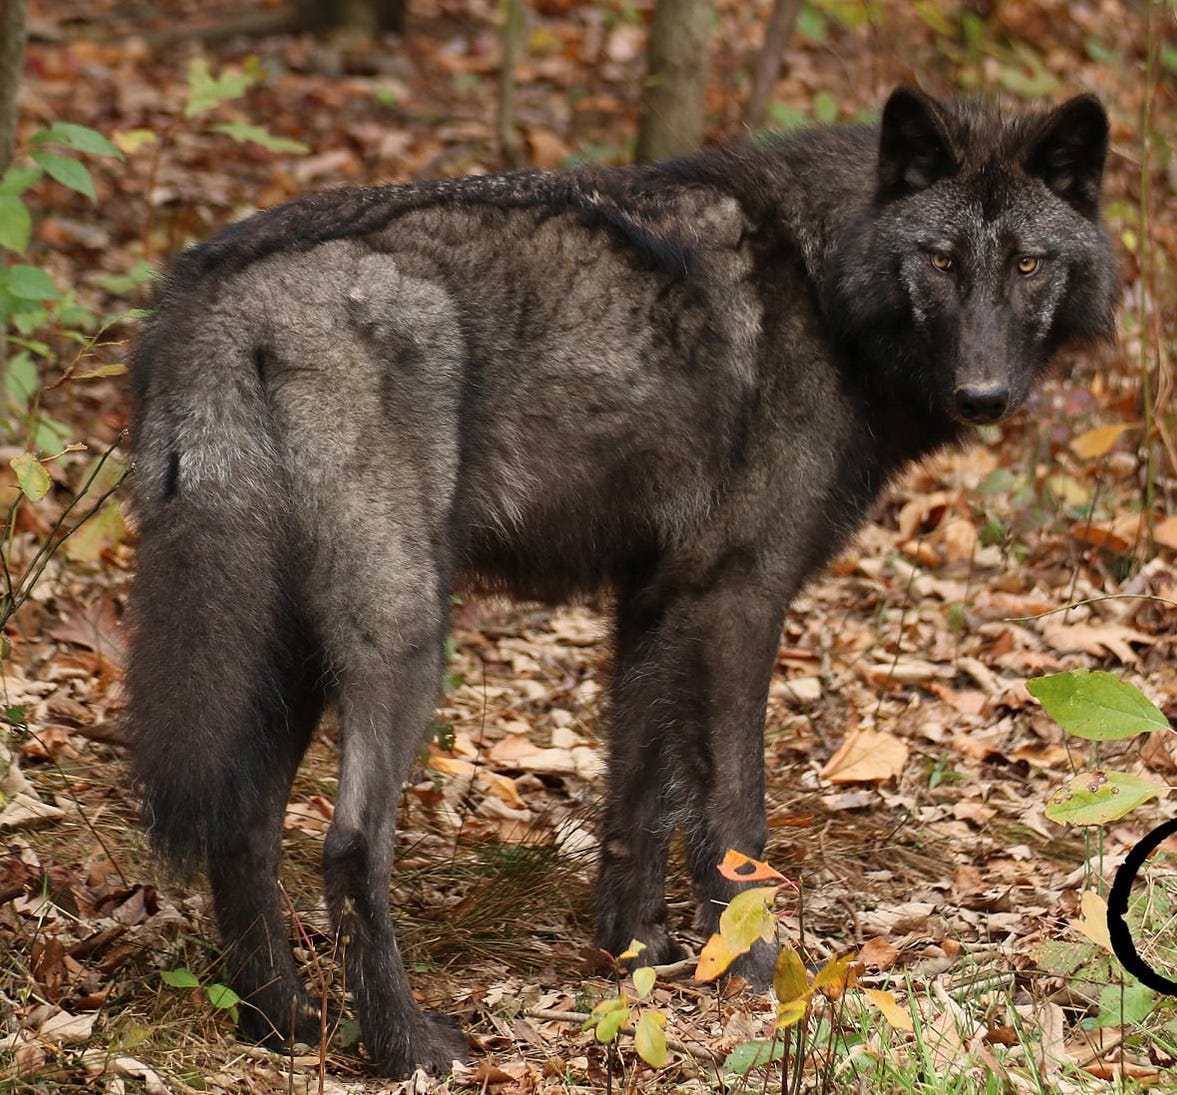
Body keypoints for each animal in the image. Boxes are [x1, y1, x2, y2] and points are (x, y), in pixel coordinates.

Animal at [128, 85, 1117, 1075]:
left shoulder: (654, 602)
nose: (982, 394)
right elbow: (733, 822)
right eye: (940, 260)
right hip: (401, 636)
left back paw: (284, 1021)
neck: (822, 283)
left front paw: (637, 956)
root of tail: (224, 293)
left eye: (1027, 263)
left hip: (287, 650)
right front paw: (757, 976)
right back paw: (407, 1045)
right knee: (347, 844)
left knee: (242, 826)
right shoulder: (738, 599)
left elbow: (637, 802)